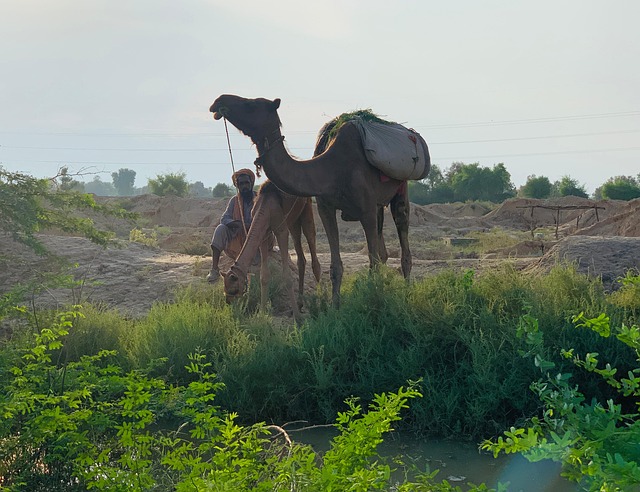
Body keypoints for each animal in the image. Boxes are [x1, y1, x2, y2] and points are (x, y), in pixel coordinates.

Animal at [210, 94, 428, 307]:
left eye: (251, 104)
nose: (218, 101)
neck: (331, 169)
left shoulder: (366, 209)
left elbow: (372, 261)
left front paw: (376, 300)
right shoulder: (326, 208)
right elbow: (336, 265)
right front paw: (335, 308)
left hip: (400, 189)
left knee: (402, 239)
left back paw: (406, 292)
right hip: (378, 205)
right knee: (383, 251)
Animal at [221, 180, 322, 321]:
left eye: (234, 290)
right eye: (225, 287)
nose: (229, 303)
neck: (266, 207)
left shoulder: (281, 231)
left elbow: (287, 276)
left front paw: (298, 318)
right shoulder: (264, 234)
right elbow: (264, 276)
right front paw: (262, 314)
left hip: (306, 206)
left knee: (312, 245)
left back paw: (321, 301)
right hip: (293, 221)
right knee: (300, 257)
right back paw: (300, 304)